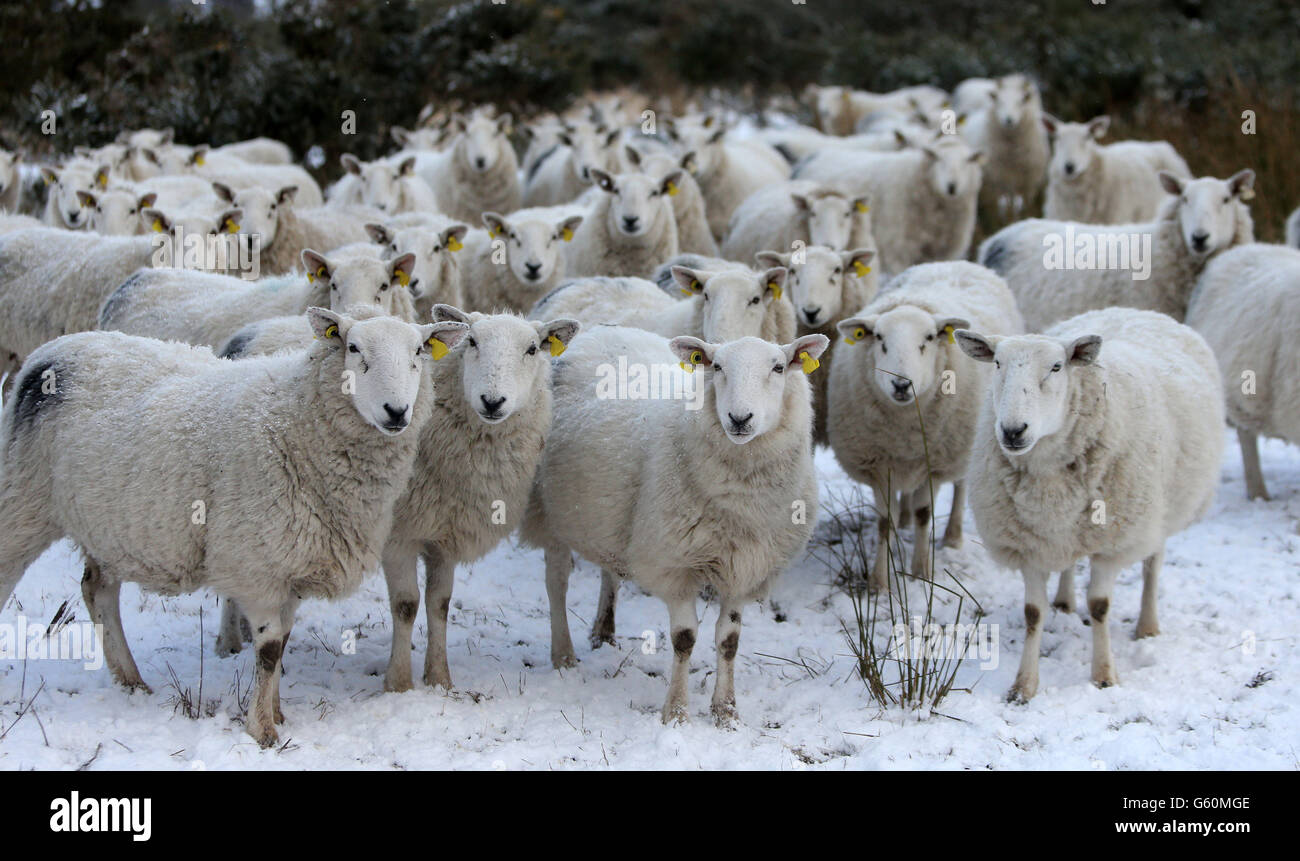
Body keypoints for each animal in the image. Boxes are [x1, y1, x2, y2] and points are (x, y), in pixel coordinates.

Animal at [0, 309, 468, 746]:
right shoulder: (257, 562)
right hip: (22, 500)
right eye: (353, 348)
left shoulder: (290, 560)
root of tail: (47, 354)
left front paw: (276, 712)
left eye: (419, 352)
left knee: (97, 590)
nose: (397, 412)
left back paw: (131, 680)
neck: (297, 419)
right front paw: (262, 731)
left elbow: (283, 641)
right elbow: (270, 649)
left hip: (106, 525)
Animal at [379, 306, 580, 691]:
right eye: (471, 341)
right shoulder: (398, 535)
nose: (492, 401)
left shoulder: (444, 532)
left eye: (533, 349)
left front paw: (439, 679)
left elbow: (439, 603)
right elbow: (406, 605)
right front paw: (398, 684)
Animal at [520, 325, 829, 724]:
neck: (741, 506)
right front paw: (677, 712)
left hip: (617, 517)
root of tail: (600, 330)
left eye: (778, 367)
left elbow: (729, 640)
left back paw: (604, 632)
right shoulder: (675, 563)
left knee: (610, 572)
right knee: (556, 585)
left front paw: (726, 712)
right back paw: (564, 656)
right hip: (550, 512)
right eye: (716, 366)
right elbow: (685, 638)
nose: (739, 419)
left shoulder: (745, 566)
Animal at [828, 261, 1024, 587]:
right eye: (879, 338)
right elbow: (885, 521)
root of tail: (955, 263)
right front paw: (879, 582)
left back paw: (952, 536)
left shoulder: (936, 463)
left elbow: (924, 514)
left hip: (965, 441)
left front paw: (920, 573)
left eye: (929, 338)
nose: (900, 384)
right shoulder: (879, 464)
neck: (905, 422)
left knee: (960, 485)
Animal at [954, 308, 1223, 701]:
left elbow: (1100, 607)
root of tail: (1135, 310)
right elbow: (1033, 613)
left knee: (1153, 565)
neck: (1046, 472)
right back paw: (1065, 602)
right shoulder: (1027, 543)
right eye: (998, 363)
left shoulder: (1113, 541)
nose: (1013, 431)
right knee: (1068, 562)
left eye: (1056, 367)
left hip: (1159, 512)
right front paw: (1023, 686)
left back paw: (1147, 625)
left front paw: (1104, 676)